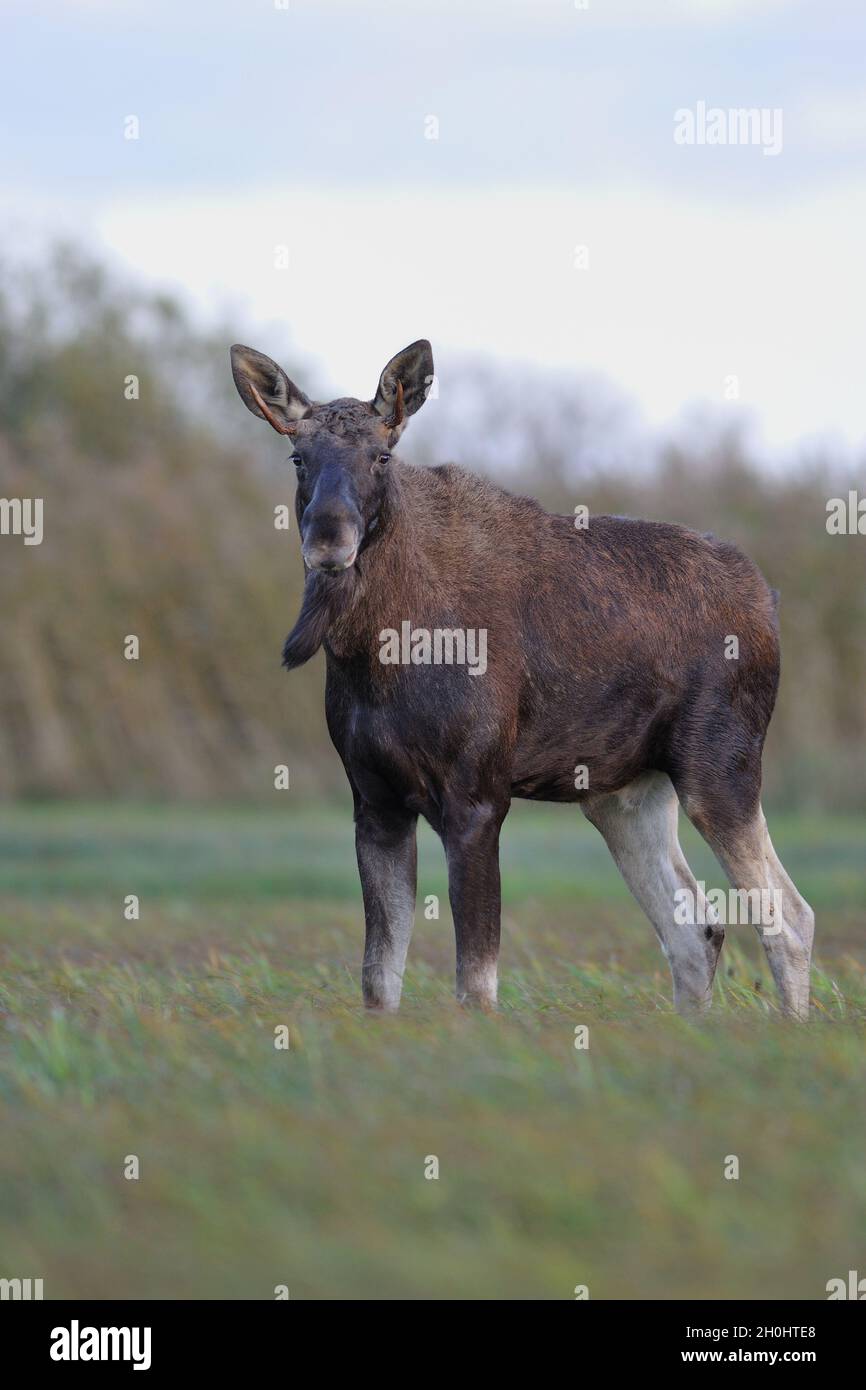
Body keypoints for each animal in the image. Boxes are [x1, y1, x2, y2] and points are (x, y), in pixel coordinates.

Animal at [230, 339, 814, 1019]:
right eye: (298, 457)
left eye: (382, 455)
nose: (328, 540)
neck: (376, 651)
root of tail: (769, 599)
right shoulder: (375, 801)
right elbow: (379, 981)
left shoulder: (479, 799)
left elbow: (476, 985)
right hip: (625, 793)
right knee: (698, 929)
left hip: (718, 769)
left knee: (788, 917)